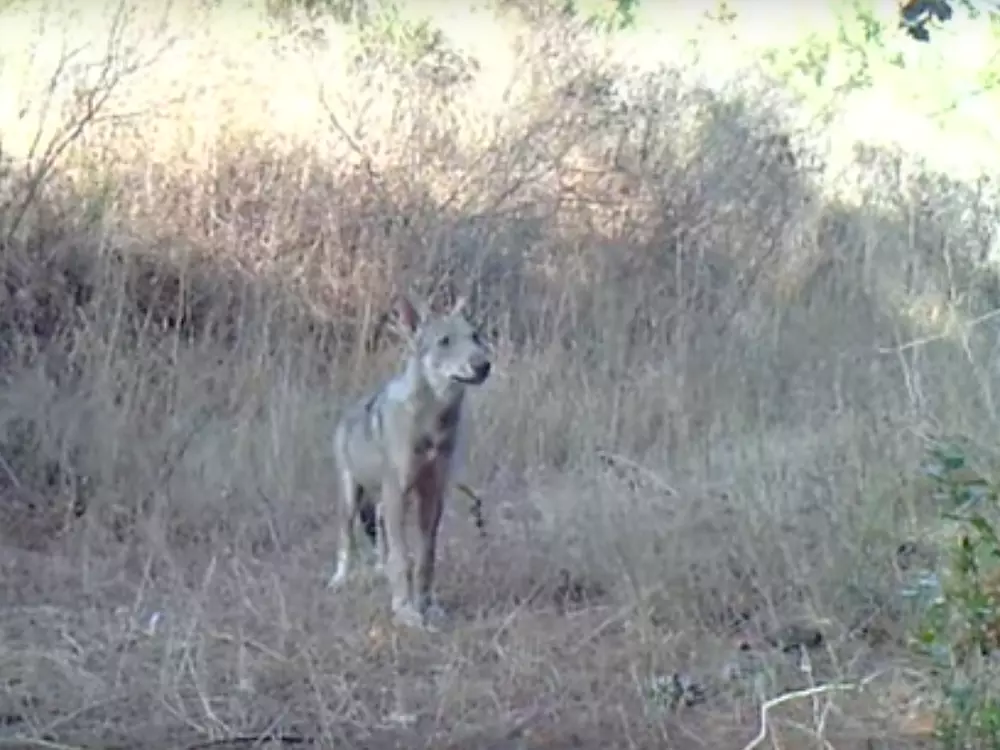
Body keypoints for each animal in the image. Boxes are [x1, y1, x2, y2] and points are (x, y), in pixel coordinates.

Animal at [328, 290, 492, 632]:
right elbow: (403, 560)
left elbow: (425, 559)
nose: (484, 364)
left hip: (382, 502)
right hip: (351, 499)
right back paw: (339, 580)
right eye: (444, 341)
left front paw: (428, 606)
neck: (433, 425)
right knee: (346, 542)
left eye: (475, 336)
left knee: (380, 538)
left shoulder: (433, 495)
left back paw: (379, 571)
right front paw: (405, 612)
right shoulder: (398, 493)